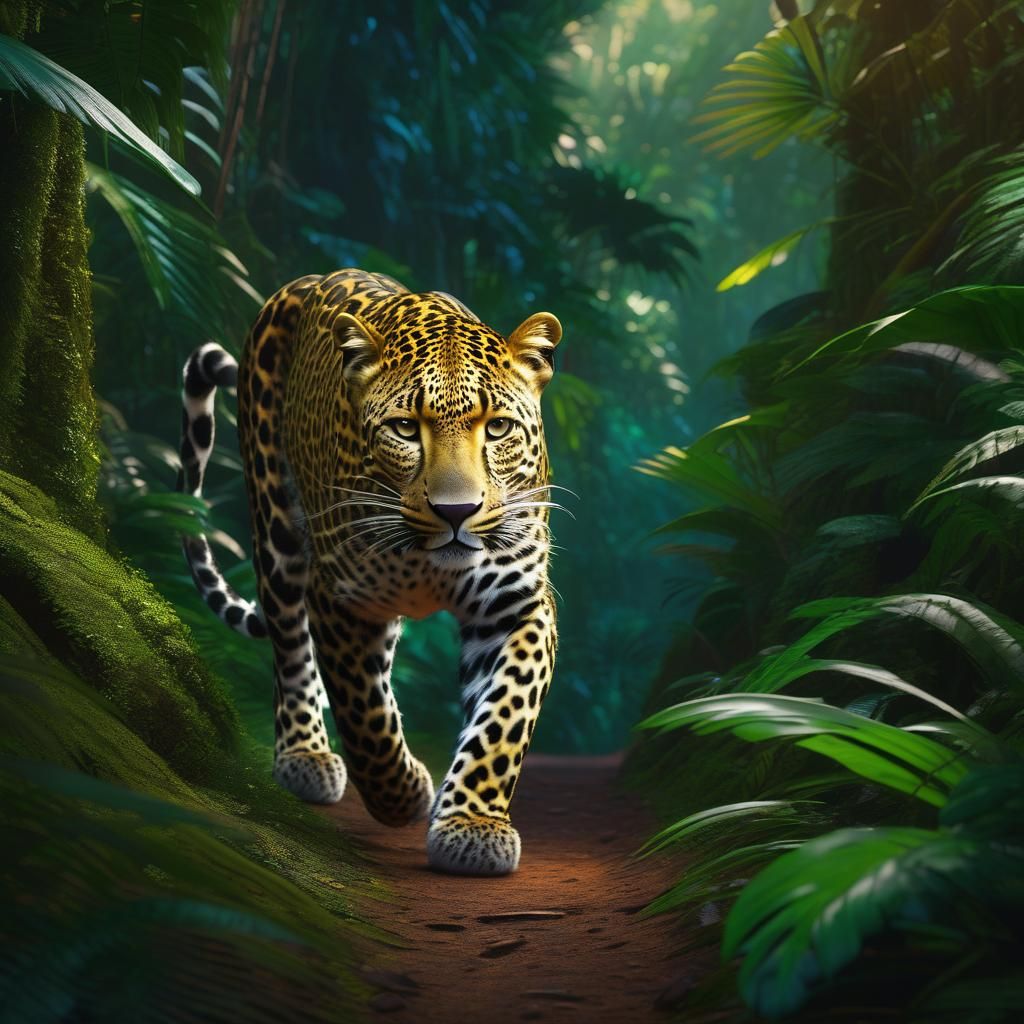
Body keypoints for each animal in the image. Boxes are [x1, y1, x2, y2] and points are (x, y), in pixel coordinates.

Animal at [176, 268, 563, 876]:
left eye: (498, 428)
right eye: (405, 429)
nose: (457, 512)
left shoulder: (516, 605)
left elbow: (503, 718)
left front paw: (472, 825)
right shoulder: (339, 597)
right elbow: (365, 716)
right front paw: (401, 795)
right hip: (278, 531)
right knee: (291, 649)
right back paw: (306, 755)